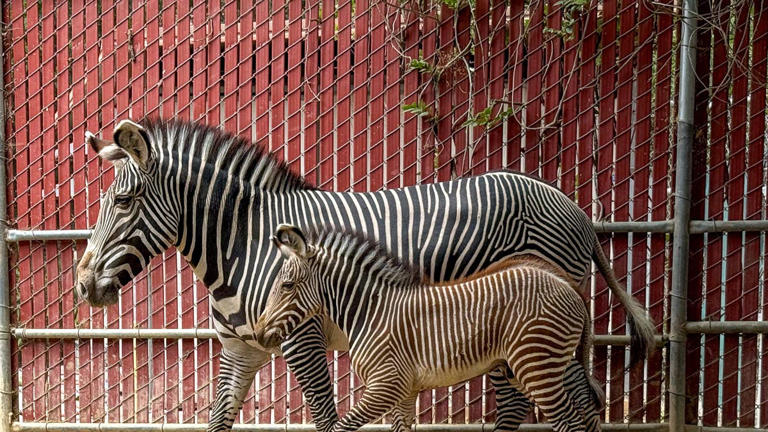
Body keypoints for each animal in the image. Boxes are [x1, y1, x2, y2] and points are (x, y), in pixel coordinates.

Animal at [255, 224, 600, 432]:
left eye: (286, 286)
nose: (258, 334)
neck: (371, 311)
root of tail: (567, 285)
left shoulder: (386, 385)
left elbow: (342, 426)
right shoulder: (405, 392)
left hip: (536, 366)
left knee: (568, 421)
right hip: (539, 366)